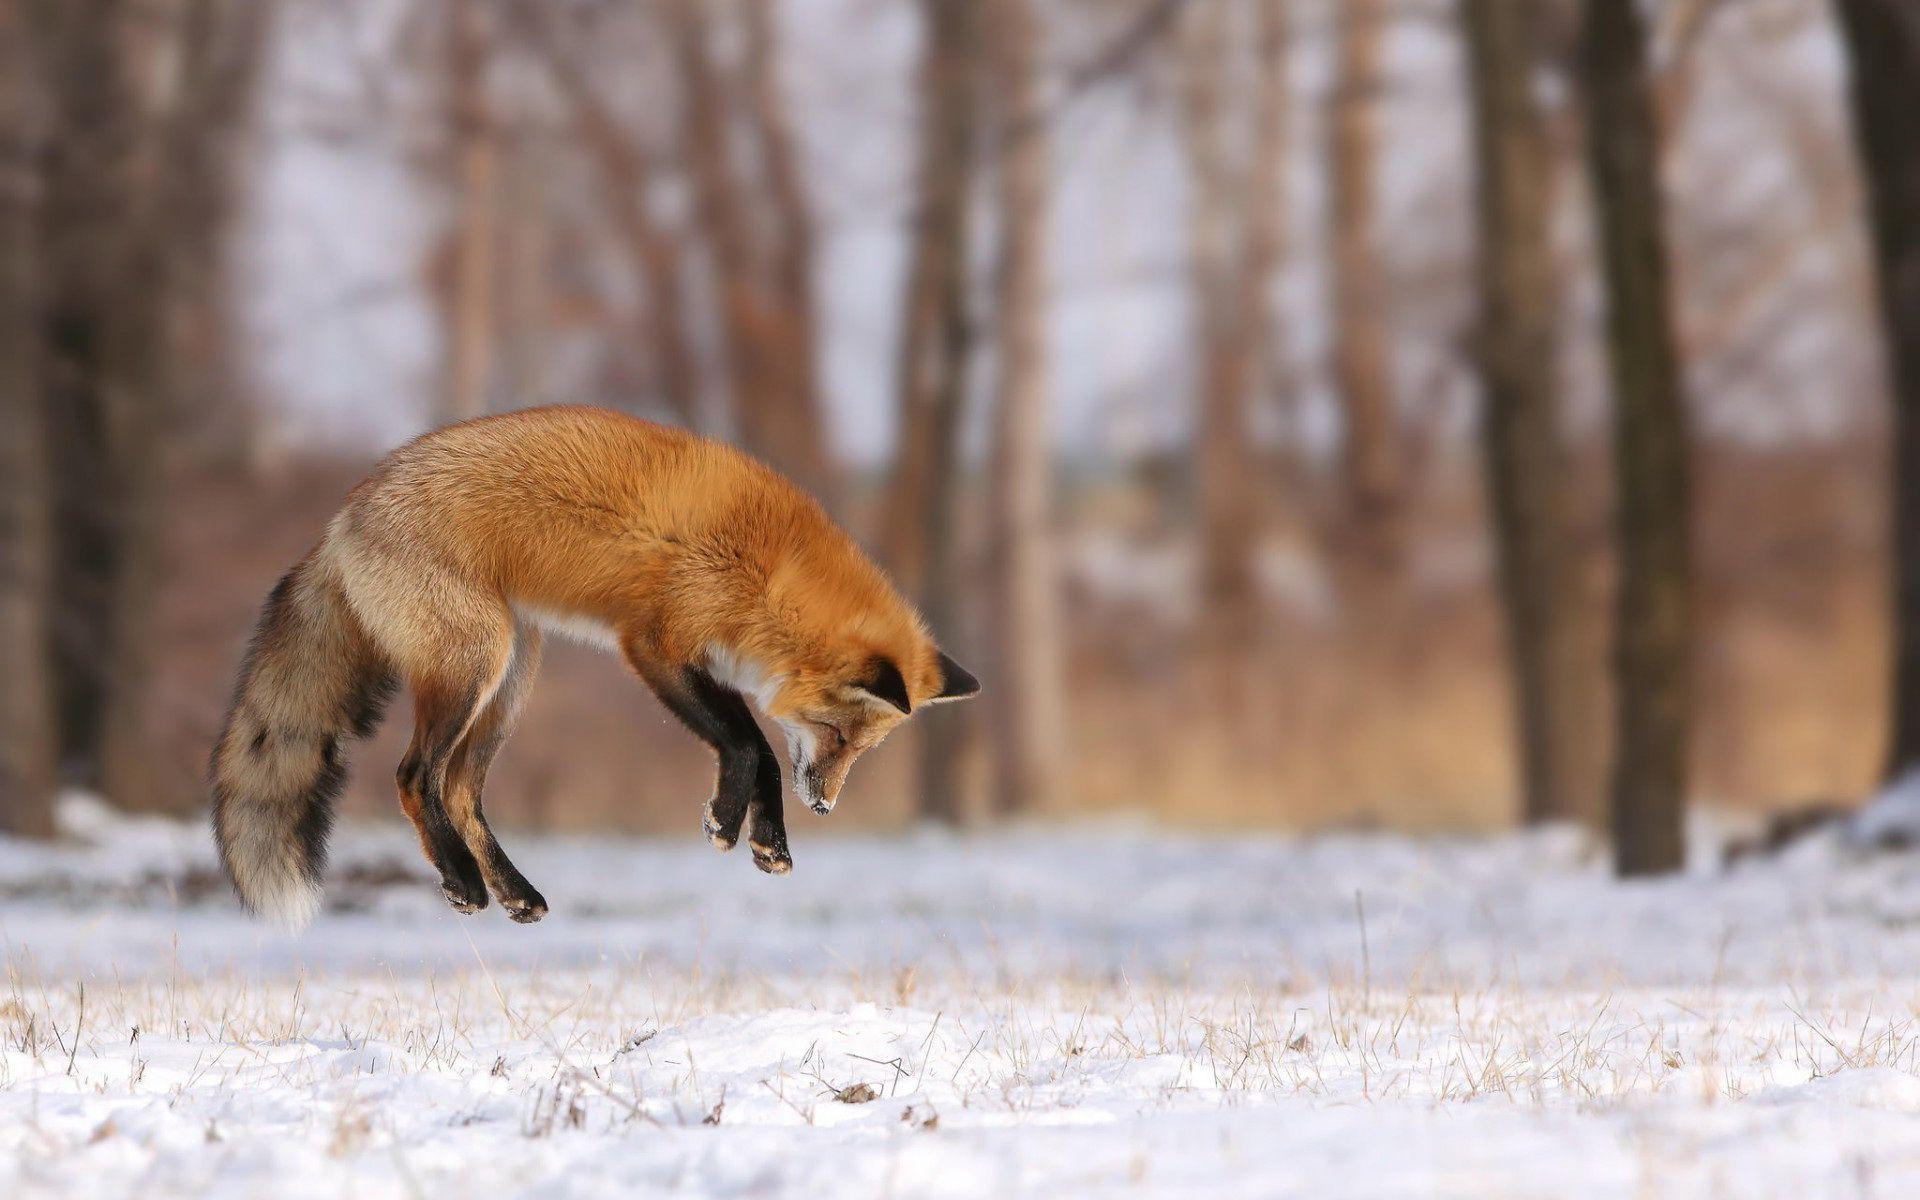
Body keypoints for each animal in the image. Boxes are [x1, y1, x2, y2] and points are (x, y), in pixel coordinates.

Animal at [210, 405, 979, 928]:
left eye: (863, 750)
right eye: (842, 736)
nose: (826, 806)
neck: (771, 572)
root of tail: (344, 515)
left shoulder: (702, 659)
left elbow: (759, 749)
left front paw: (768, 841)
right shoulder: (655, 644)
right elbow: (749, 744)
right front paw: (729, 823)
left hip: (511, 681)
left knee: (459, 790)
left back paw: (514, 893)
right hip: (473, 665)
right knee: (414, 775)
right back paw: (462, 882)